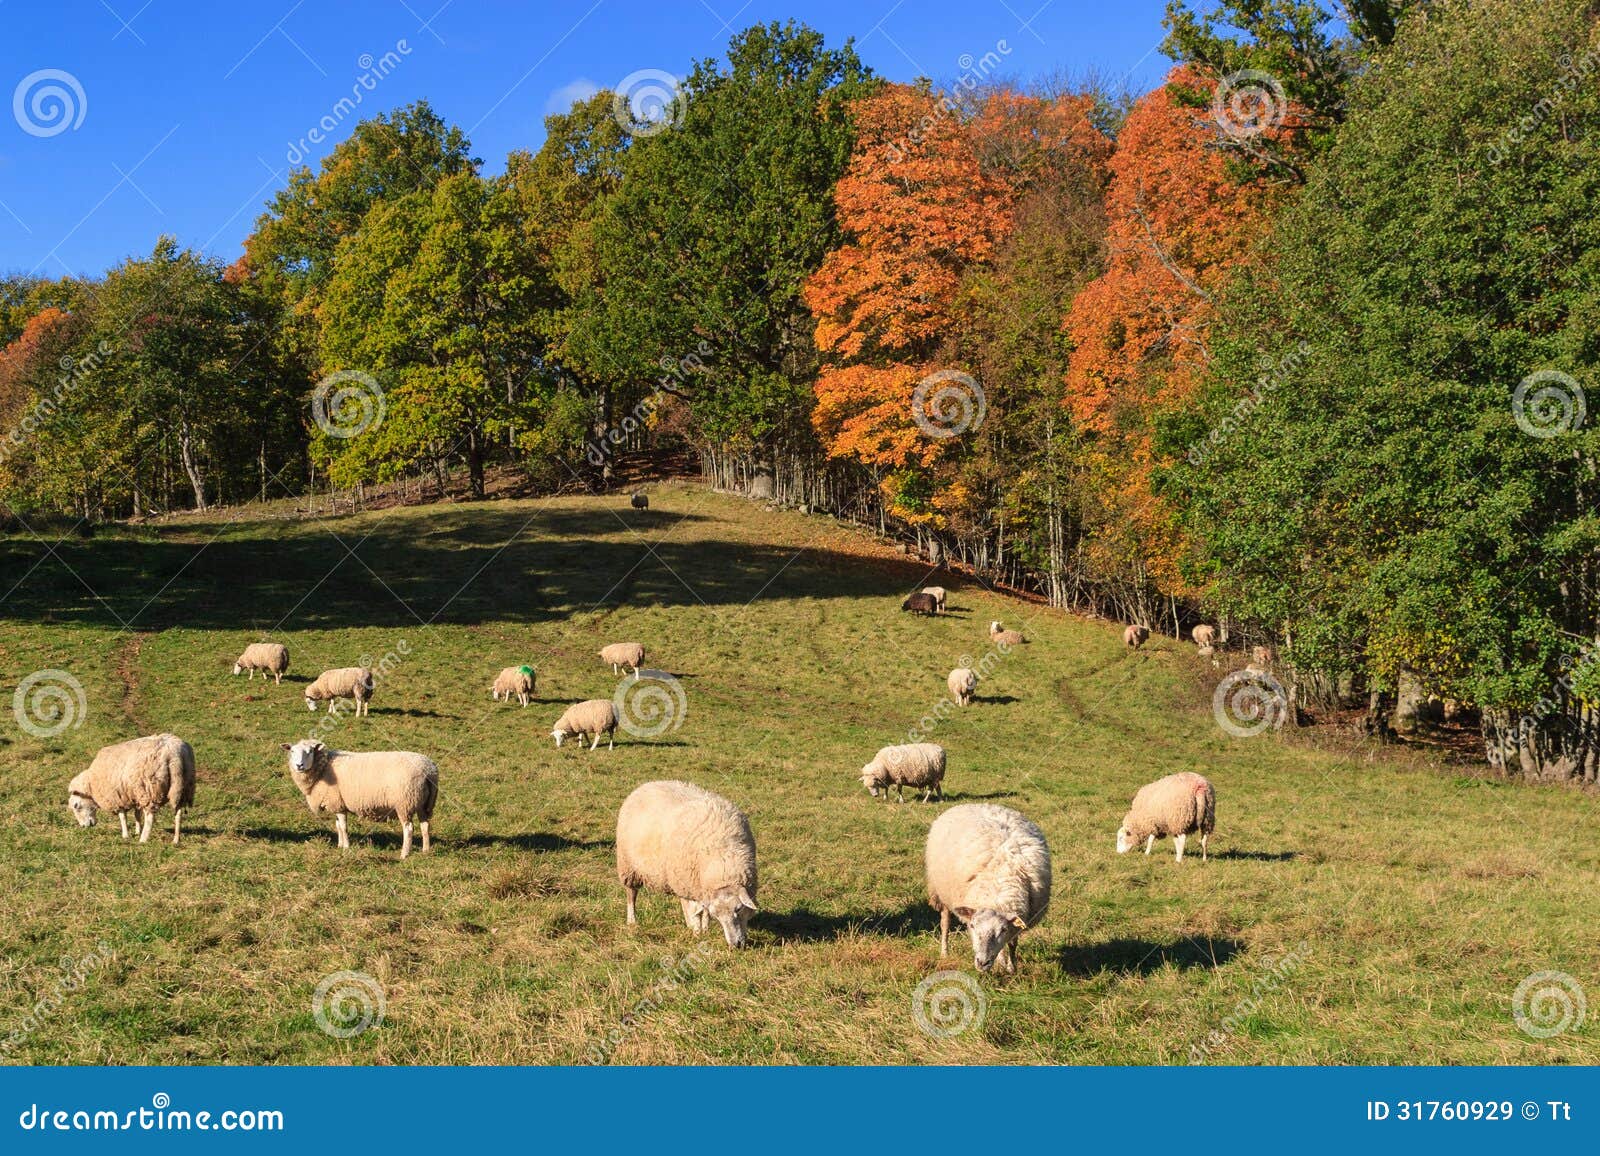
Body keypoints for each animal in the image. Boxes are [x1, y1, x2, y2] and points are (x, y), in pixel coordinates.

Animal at [67, 733, 196, 845]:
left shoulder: (117, 796)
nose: (84, 827)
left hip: (150, 788)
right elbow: (137, 814)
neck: (92, 784)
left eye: (76, 806)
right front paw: (137, 830)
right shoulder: (133, 793)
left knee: (150, 817)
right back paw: (176, 839)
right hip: (183, 786)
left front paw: (126, 835)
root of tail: (173, 753)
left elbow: (122, 817)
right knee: (178, 813)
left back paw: (143, 839)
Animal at [279, 739, 437, 859]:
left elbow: (343, 827)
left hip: (405, 802)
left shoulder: (337, 803)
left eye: (310, 751)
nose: (299, 765)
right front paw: (339, 845)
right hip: (423, 803)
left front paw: (346, 848)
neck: (323, 767)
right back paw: (426, 850)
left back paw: (404, 854)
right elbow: (338, 825)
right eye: (292, 751)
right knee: (425, 825)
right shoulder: (338, 803)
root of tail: (429, 770)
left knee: (408, 828)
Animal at [616, 780, 758, 948]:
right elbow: (696, 912)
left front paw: (705, 929)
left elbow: (703, 911)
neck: (723, 857)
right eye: (717, 915)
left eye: (739, 909)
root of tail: (647, 784)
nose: (735, 945)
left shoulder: (701, 888)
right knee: (631, 894)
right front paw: (697, 933)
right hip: (629, 866)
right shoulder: (689, 884)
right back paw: (632, 921)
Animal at [925, 804, 1051, 973]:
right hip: (941, 891)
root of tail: (969, 804)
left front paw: (1011, 967)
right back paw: (944, 952)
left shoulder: (1016, 921)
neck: (998, 887)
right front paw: (1004, 964)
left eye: (1003, 930)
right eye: (972, 926)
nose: (982, 963)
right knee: (945, 922)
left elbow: (1012, 944)